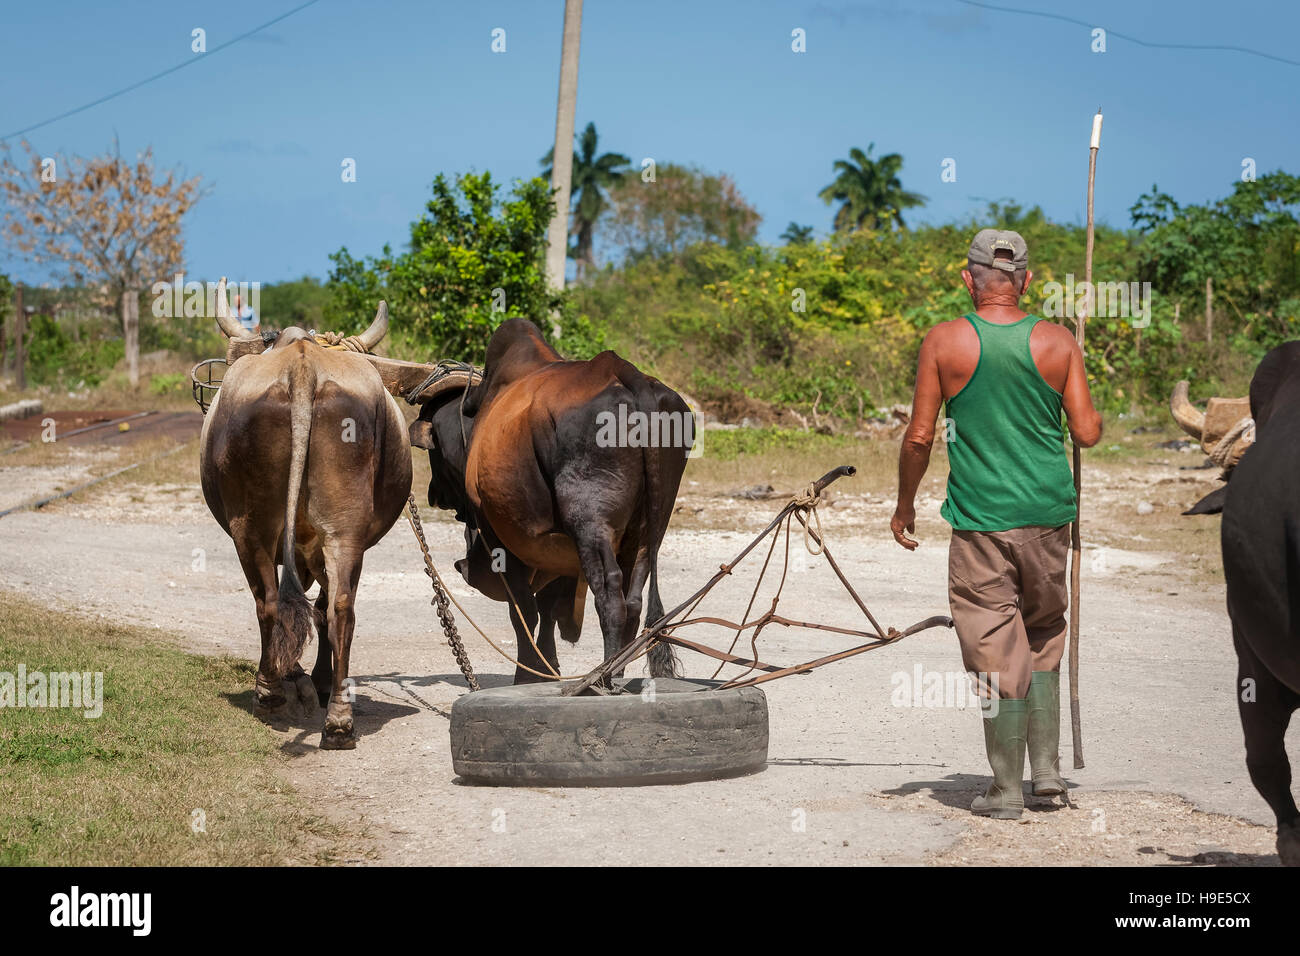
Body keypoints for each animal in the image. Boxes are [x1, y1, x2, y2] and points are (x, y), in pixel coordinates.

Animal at [200, 279, 412, 749]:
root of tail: (302, 366)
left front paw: (295, 678)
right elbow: (316, 608)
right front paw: (312, 679)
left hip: (249, 528)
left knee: (269, 602)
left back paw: (269, 693)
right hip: (345, 531)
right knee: (339, 608)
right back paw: (338, 720)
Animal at [408, 318, 693, 685]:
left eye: (435, 452)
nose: (433, 495)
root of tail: (621, 369)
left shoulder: (500, 536)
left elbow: (523, 611)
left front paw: (527, 674)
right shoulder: (555, 547)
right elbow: (547, 607)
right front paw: (547, 670)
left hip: (589, 522)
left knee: (610, 595)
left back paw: (601, 678)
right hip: (648, 530)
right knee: (633, 600)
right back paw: (614, 672)